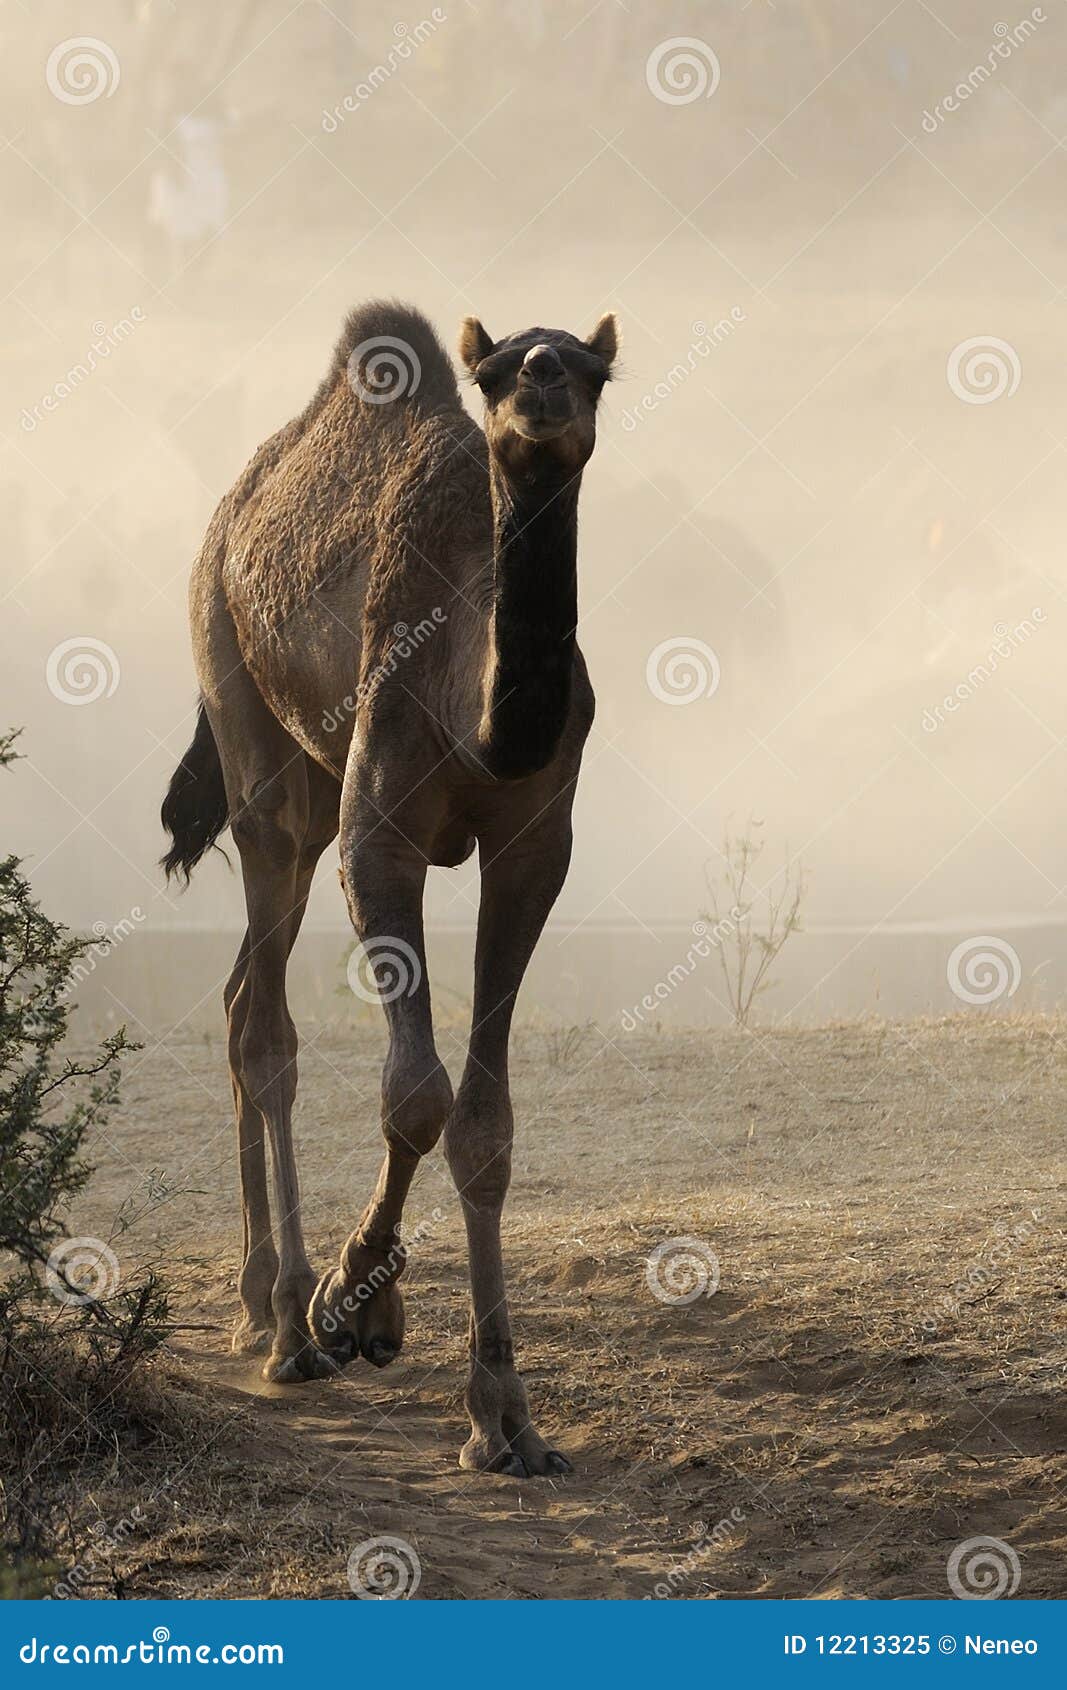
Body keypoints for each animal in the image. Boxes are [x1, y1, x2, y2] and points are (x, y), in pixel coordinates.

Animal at [161, 300, 617, 1476]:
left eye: (596, 370)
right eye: (496, 371)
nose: (541, 383)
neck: (478, 705)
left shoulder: (534, 845)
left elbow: (486, 1121)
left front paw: (504, 1415)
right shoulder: (381, 833)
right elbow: (415, 1094)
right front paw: (352, 1302)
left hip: (308, 785)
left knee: (240, 991)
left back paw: (252, 1304)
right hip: (253, 737)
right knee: (261, 1016)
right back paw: (285, 1325)